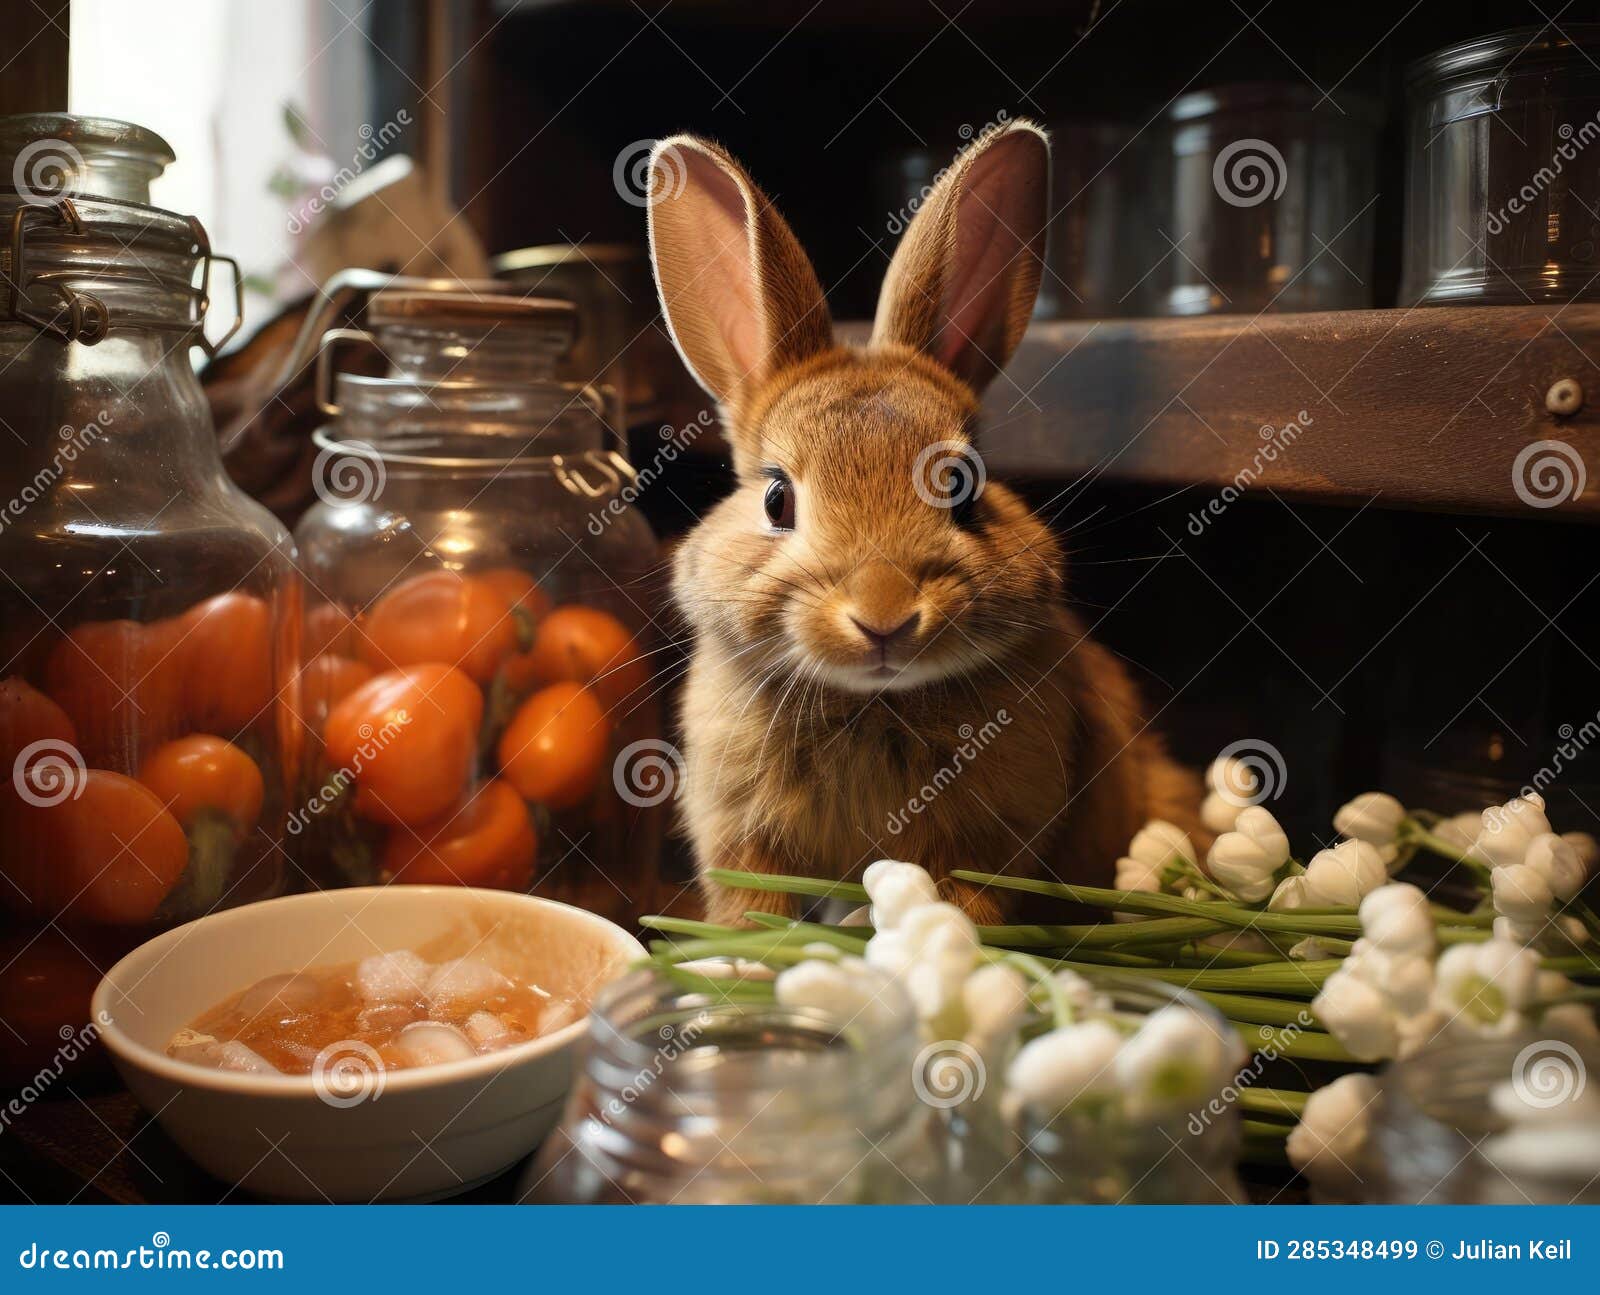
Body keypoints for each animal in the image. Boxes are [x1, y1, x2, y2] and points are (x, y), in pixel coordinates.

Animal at [645, 119, 1203, 928]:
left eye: (963, 485)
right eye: (777, 499)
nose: (884, 617)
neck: (871, 700)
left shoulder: (985, 842)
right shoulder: (743, 837)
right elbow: (753, 905)